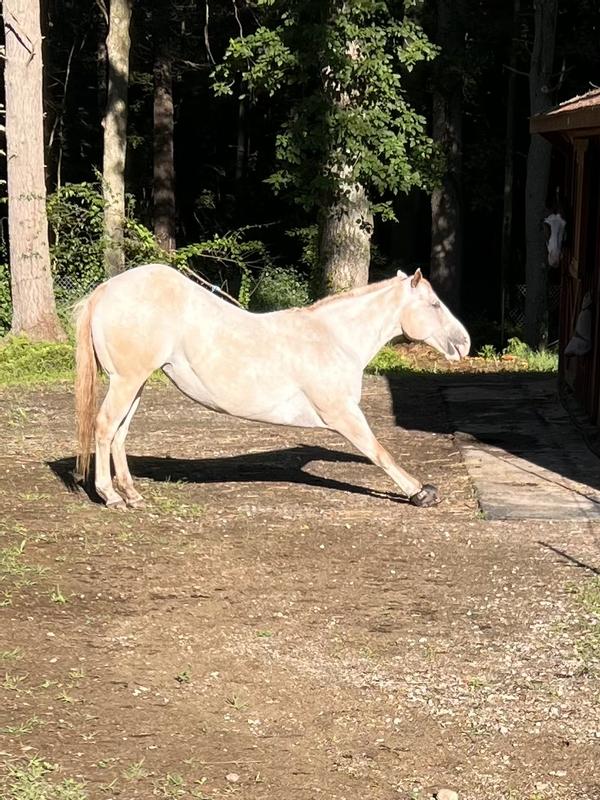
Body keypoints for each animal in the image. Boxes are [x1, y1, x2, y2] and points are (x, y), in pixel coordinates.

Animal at [74, 263, 470, 510]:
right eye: (434, 304)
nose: (464, 343)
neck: (333, 338)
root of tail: (105, 291)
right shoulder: (343, 414)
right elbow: (379, 451)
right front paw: (421, 492)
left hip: (136, 382)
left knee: (119, 434)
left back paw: (131, 494)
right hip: (127, 381)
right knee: (105, 427)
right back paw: (110, 496)